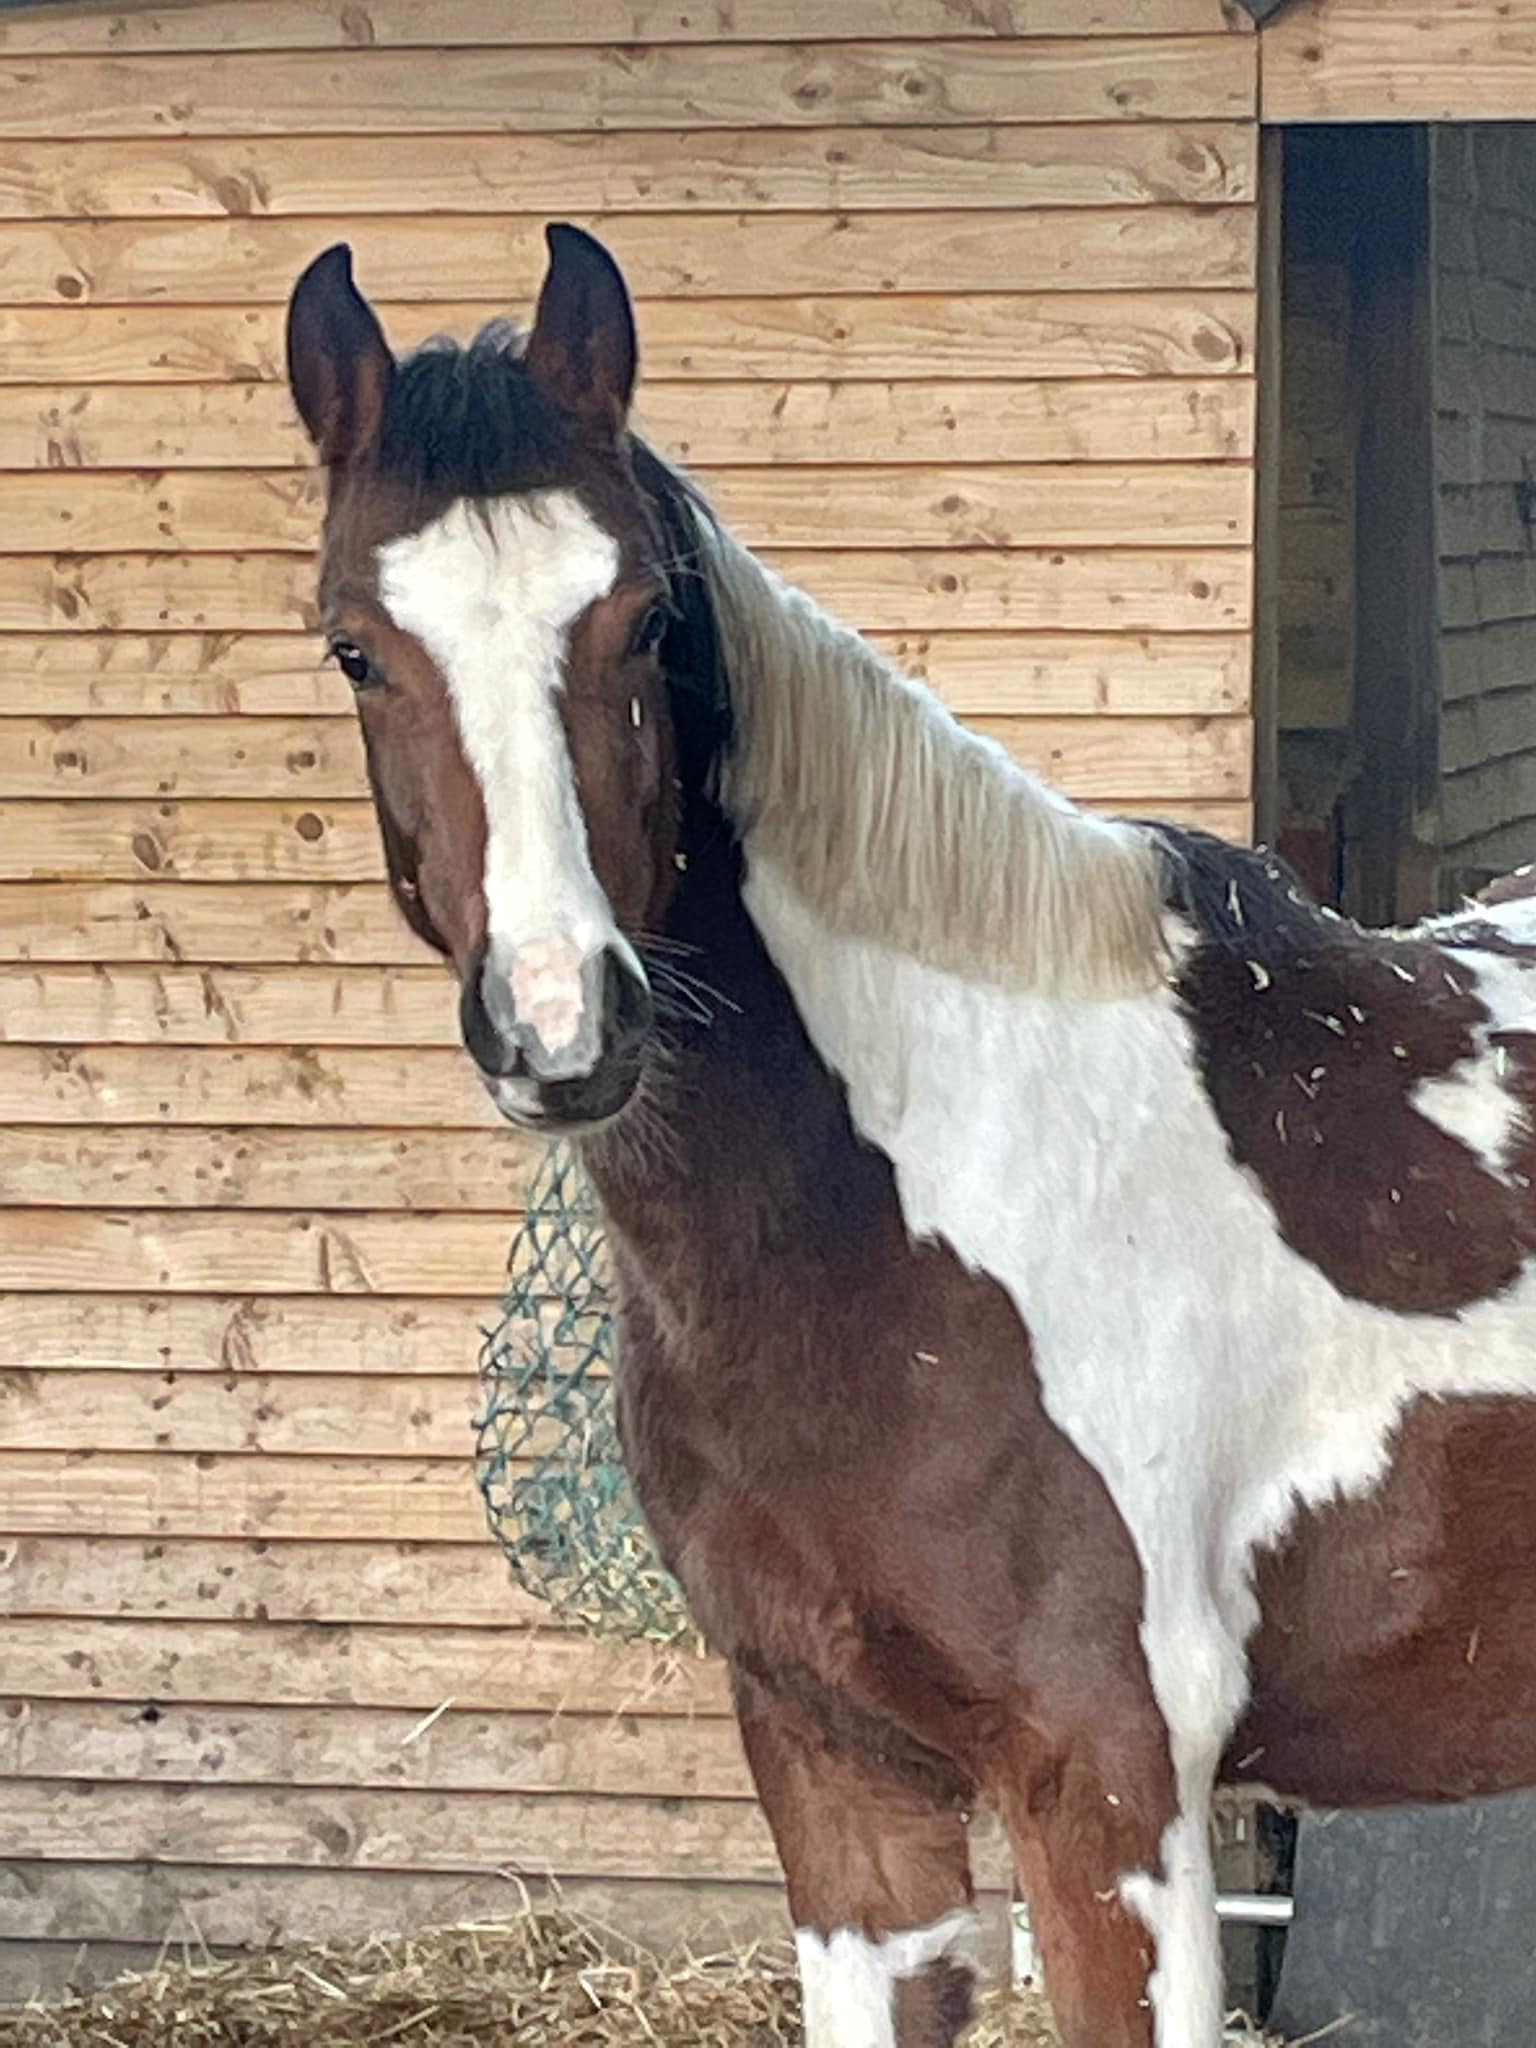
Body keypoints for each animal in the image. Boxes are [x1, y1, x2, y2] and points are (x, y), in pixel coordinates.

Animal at [285, 223, 1536, 2048]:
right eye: (355, 647)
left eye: (642, 620)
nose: (565, 1024)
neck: (910, 1216)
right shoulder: (838, 1782)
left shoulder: (1114, 1801)